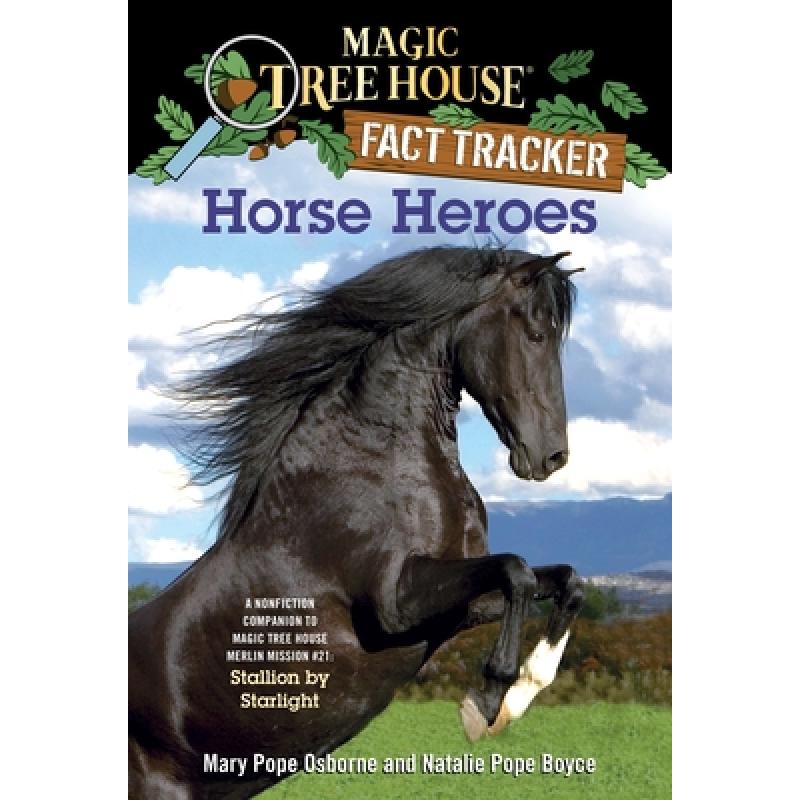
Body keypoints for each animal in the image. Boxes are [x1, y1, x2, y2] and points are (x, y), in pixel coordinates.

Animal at [128, 245, 585, 799]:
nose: (552, 457)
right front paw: (485, 706)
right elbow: (517, 571)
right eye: (535, 335)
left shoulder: (464, 604)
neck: (373, 460)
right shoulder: (394, 604)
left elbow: (564, 581)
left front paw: (520, 694)